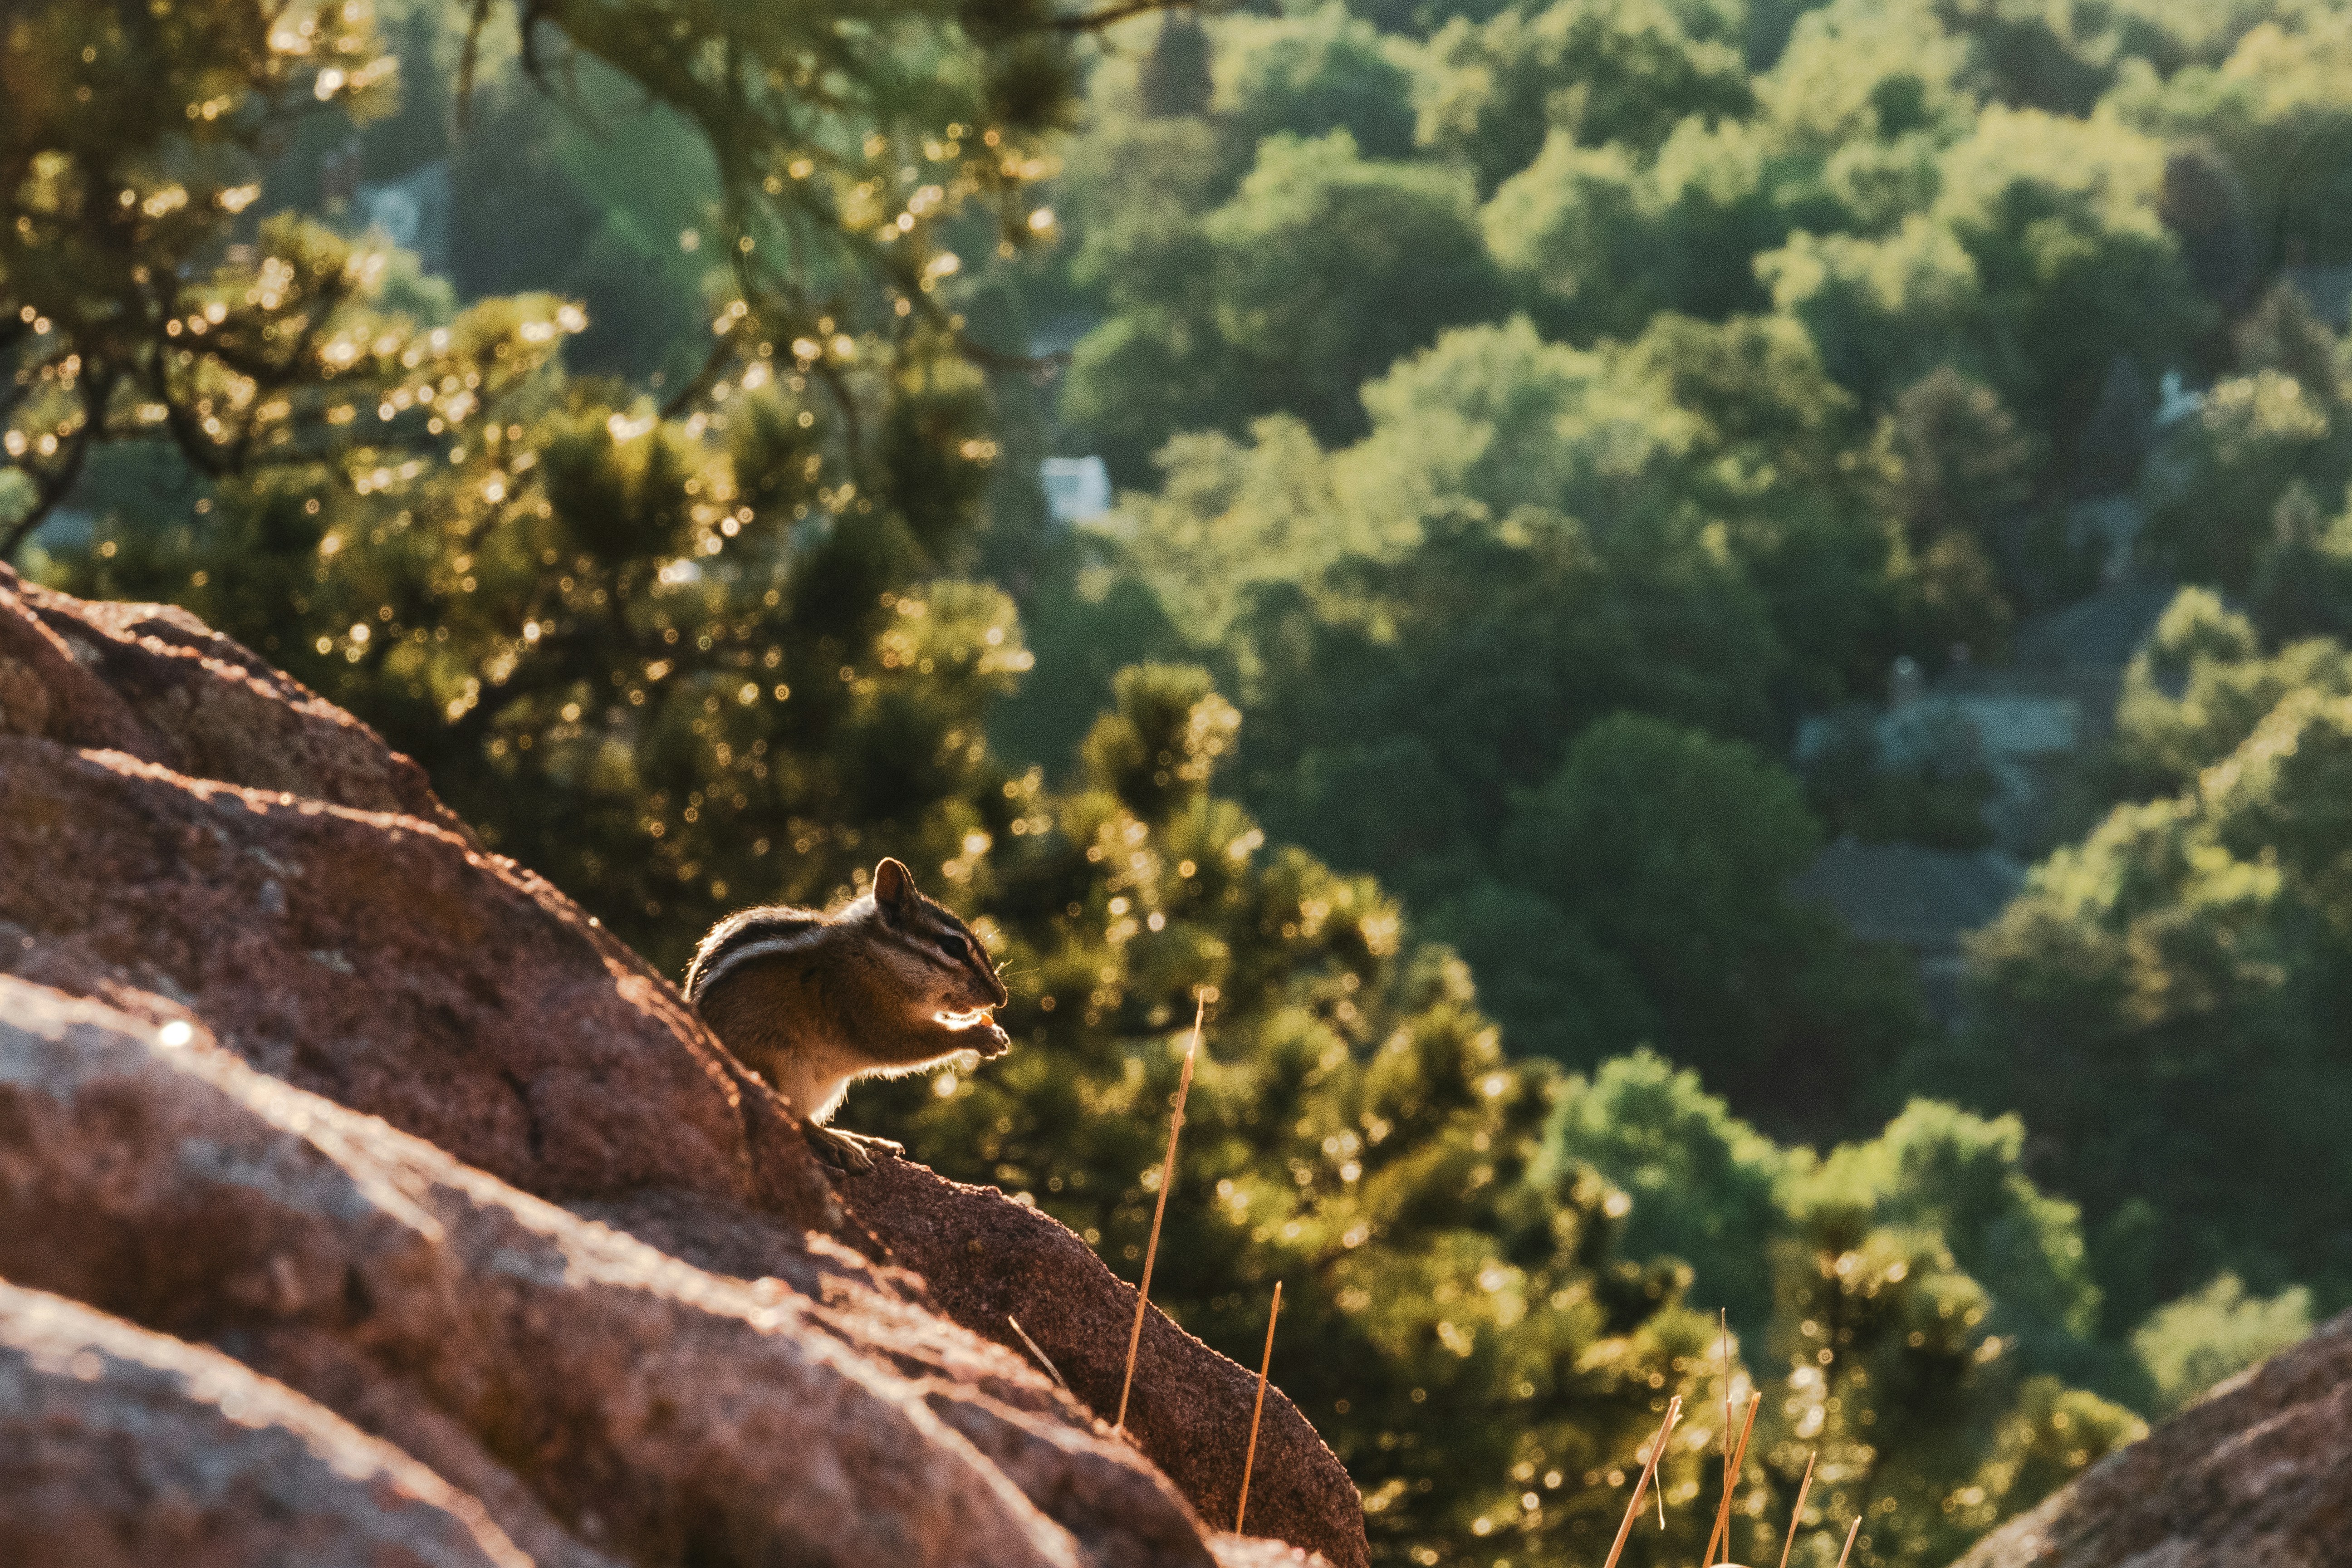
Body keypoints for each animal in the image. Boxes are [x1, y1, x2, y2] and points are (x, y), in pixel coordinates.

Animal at [684, 856, 1010, 1171]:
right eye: (953, 947)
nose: (1002, 997)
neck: (875, 956)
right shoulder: (863, 1005)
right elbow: (899, 1044)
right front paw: (981, 1035)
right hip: (777, 1064)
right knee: (789, 1118)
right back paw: (836, 1141)